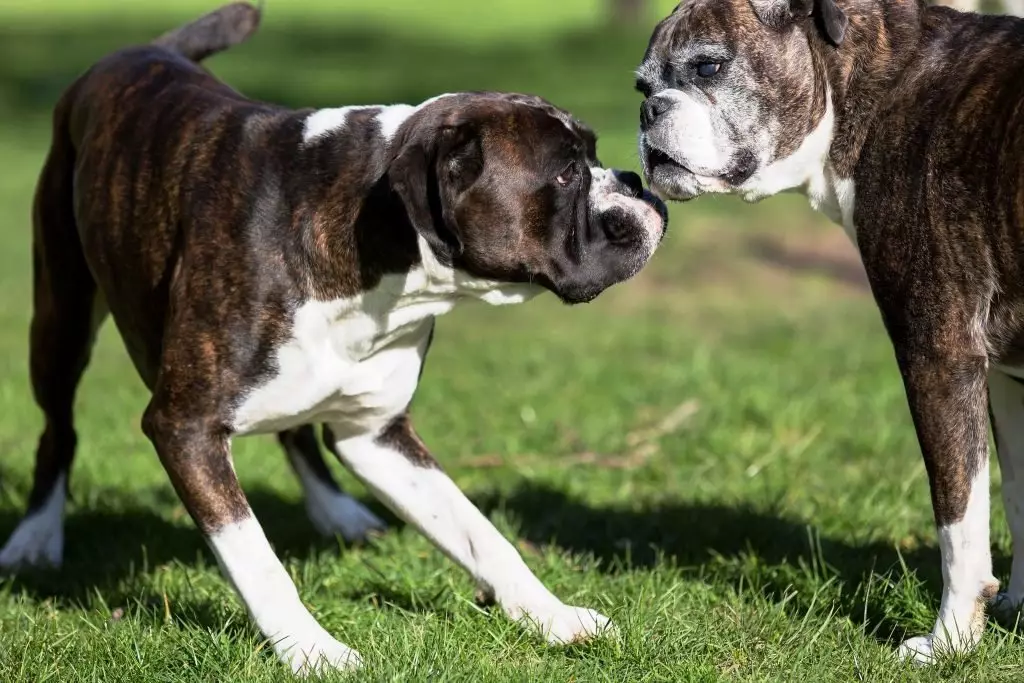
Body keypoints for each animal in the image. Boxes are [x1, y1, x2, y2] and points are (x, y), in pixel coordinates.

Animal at [0, 0, 667, 671]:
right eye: (566, 174)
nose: (635, 181)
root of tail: (146, 50)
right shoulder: (184, 428)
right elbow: (257, 557)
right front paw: (311, 650)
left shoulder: (375, 435)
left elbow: (480, 532)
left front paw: (553, 618)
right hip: (60, 320)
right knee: (59, 430)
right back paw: (35, 538)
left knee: (294, 428)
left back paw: (336, 511)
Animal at [630, 0, 1024, 667]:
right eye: (642, 87)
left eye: (707, 67)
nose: (648, 110)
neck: (872, 88)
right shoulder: (1009, 380)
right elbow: (1022, 494)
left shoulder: (939, 356)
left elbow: (960, 518)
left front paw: (950, 640)